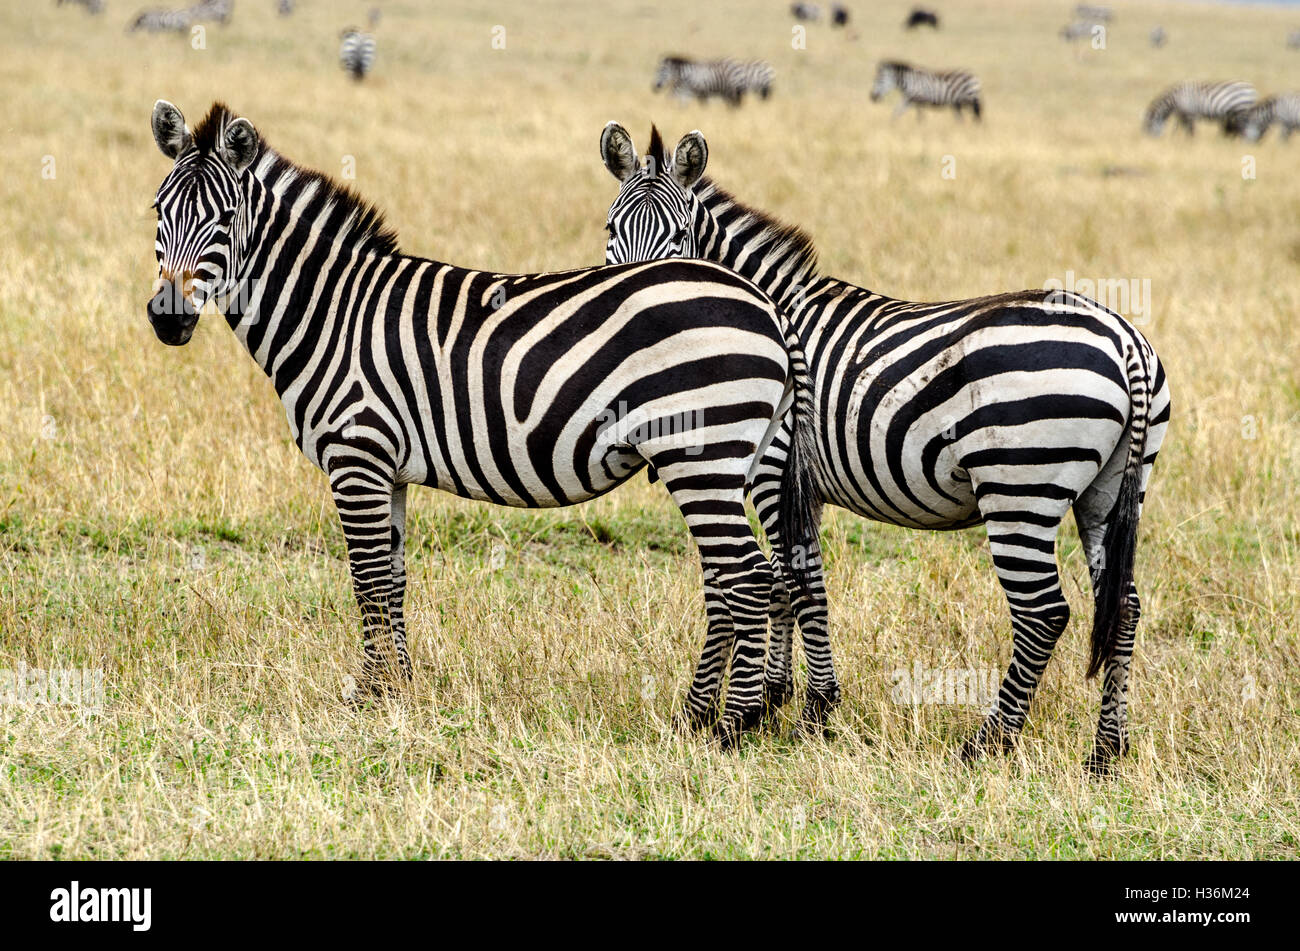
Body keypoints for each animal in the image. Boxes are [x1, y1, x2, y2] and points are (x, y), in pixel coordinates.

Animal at [145, 100, 821, 749]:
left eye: (225, 221)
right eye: (157, 213)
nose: (167, 319)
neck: (332, 312)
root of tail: (767, 305)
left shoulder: (356, 455)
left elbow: (367, 580)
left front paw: (366, 699)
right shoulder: (388, 470)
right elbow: (393, 579)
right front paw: (396, 691)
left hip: (702, 455)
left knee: (748, 578)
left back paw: (733, 727)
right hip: (733, 461)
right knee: (738, 579)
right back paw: (700, 717)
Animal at [599, 124, 1171, 772]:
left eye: (679, 238)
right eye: (611, 231)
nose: (639, 316)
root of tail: (1124, 338)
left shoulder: (776, 471)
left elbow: (800, 583)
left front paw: (811, 713)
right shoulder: (799, 488)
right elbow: (784, 585)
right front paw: (776, 697)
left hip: (1020, 487)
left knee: (1044, 613)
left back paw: (987, 742)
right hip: (1111, 490)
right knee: (1123, 606)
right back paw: (1106, 751)